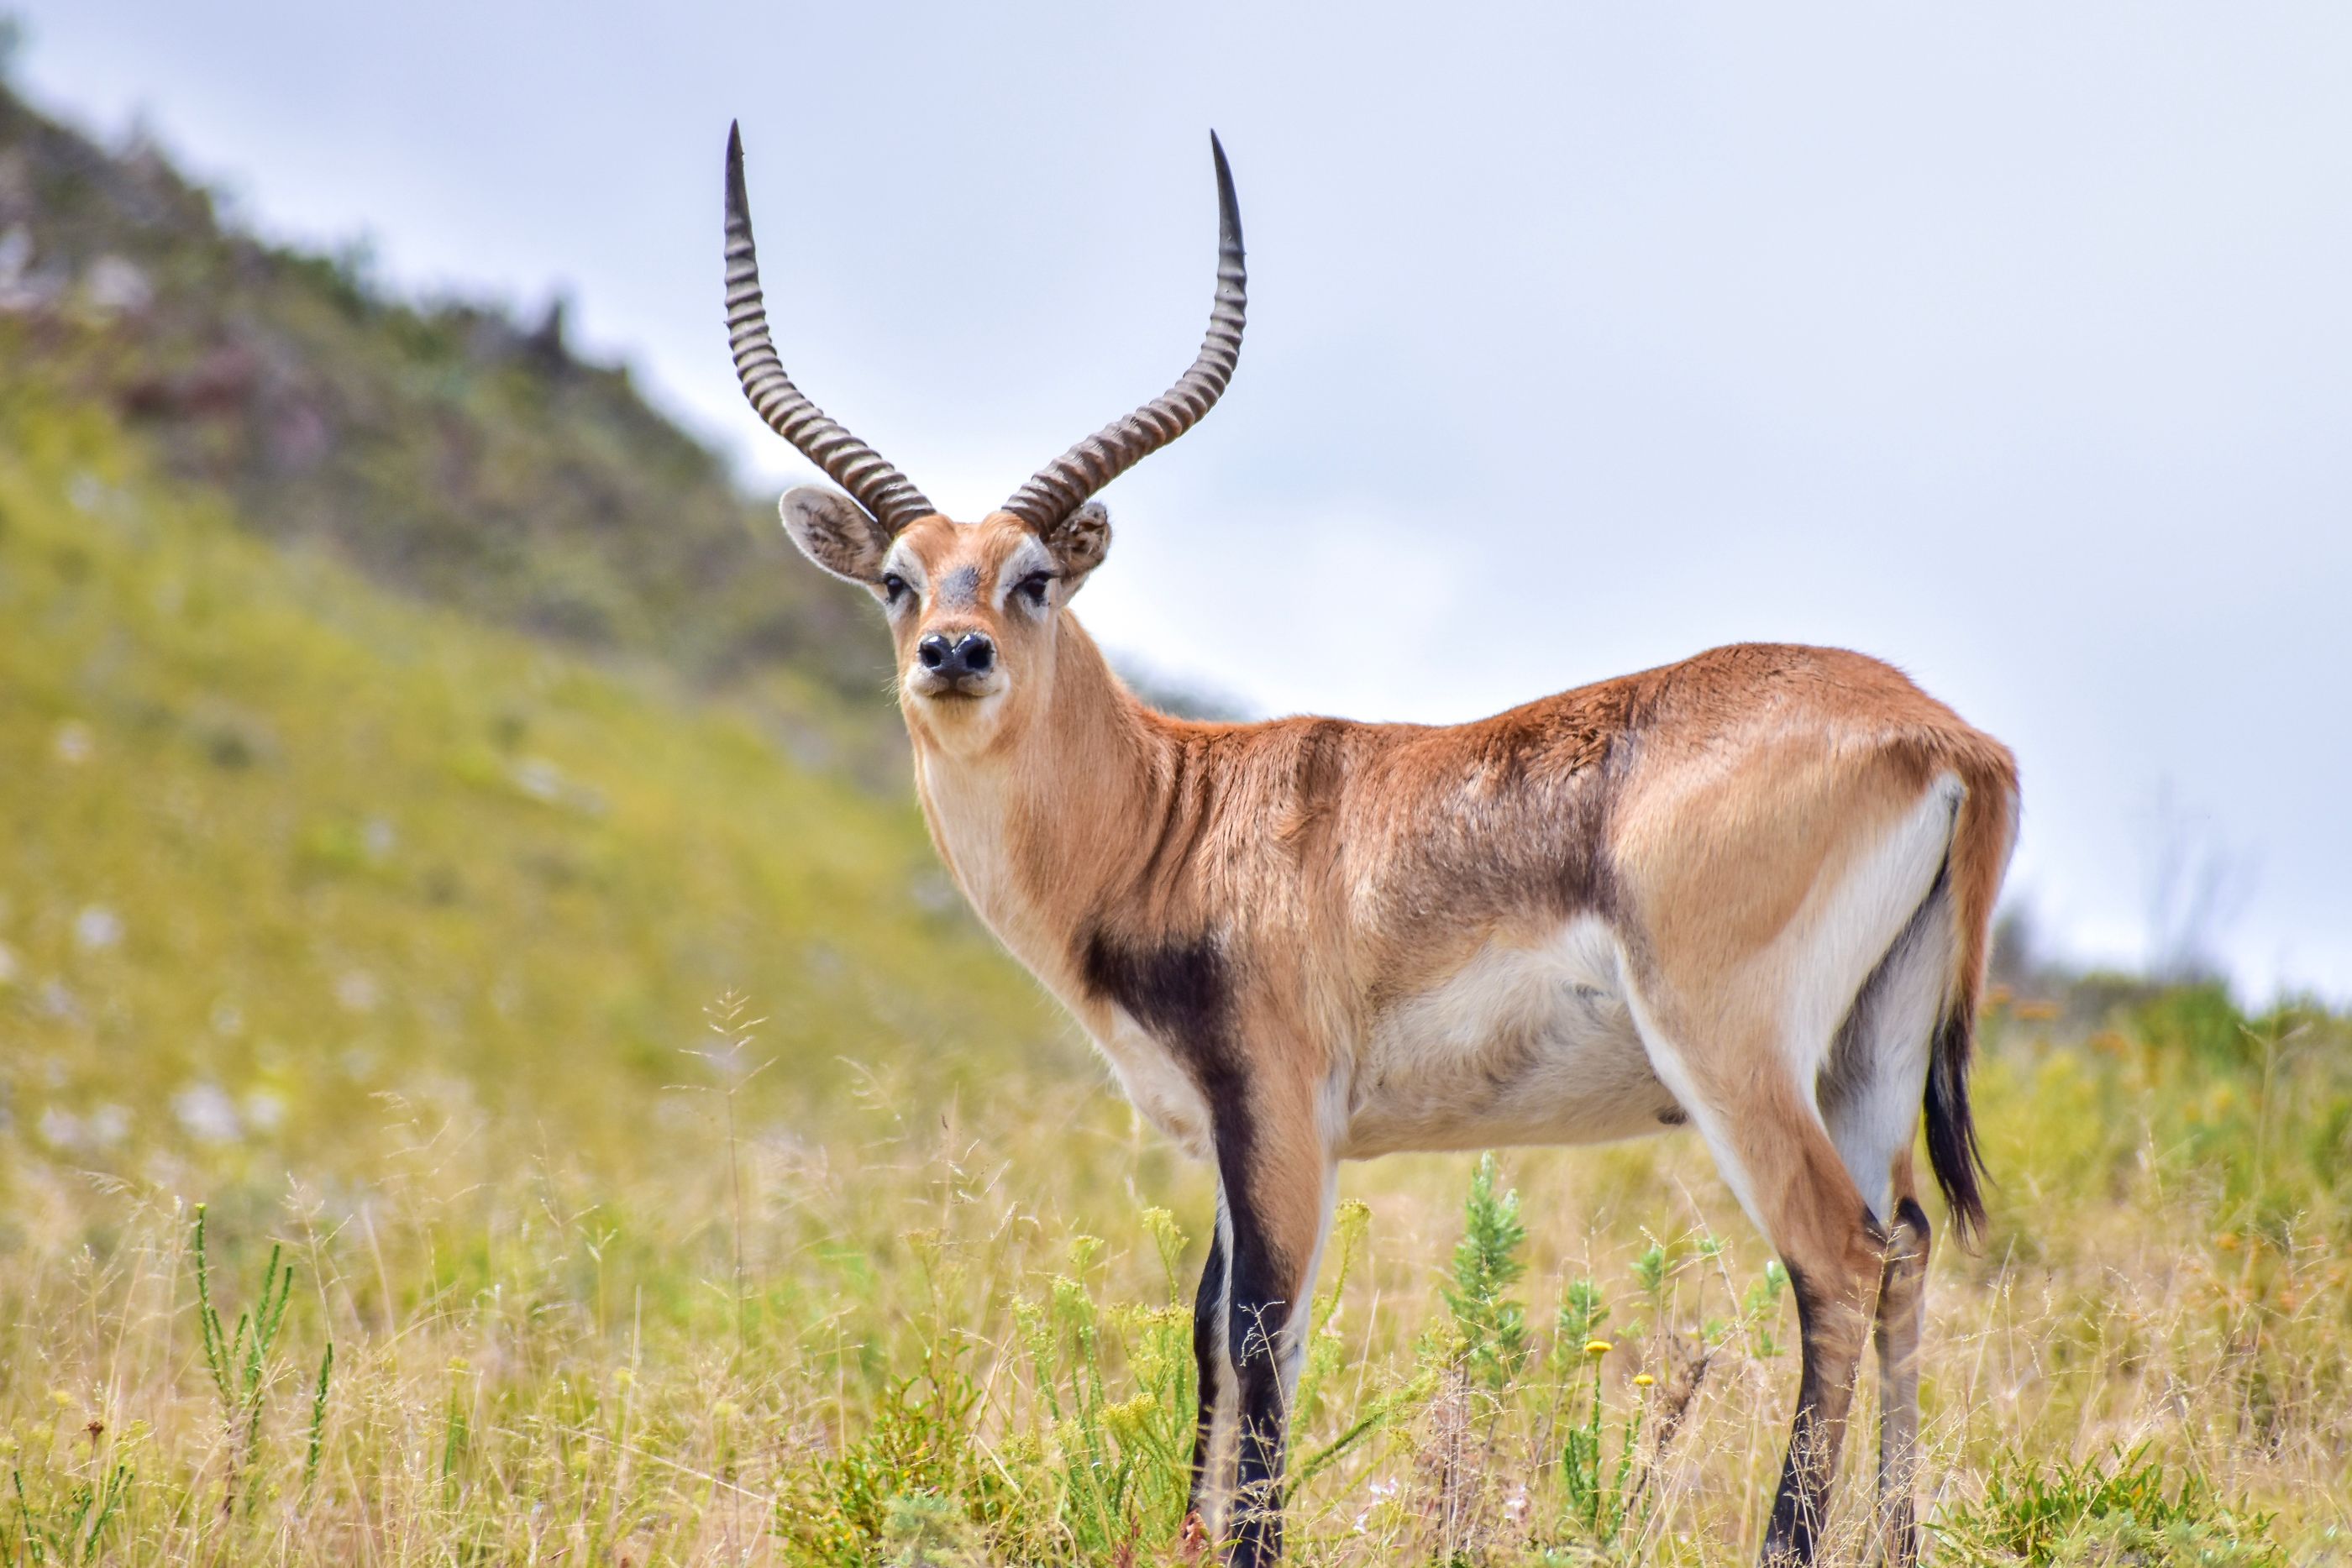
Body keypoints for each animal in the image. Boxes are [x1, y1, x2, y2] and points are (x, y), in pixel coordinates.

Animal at [719, 124, 2017, 1567]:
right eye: (899, 577)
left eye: (1034, 577)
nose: (955, 653)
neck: (1176, 812)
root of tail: (1944, 733)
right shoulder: (1236, 1129)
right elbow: (1210, 1335)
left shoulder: (1282, 1109)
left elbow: (1259, 1336)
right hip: (1870, 1053)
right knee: (1906, 1248)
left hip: (1737, 1056)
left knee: (1837, 1258)